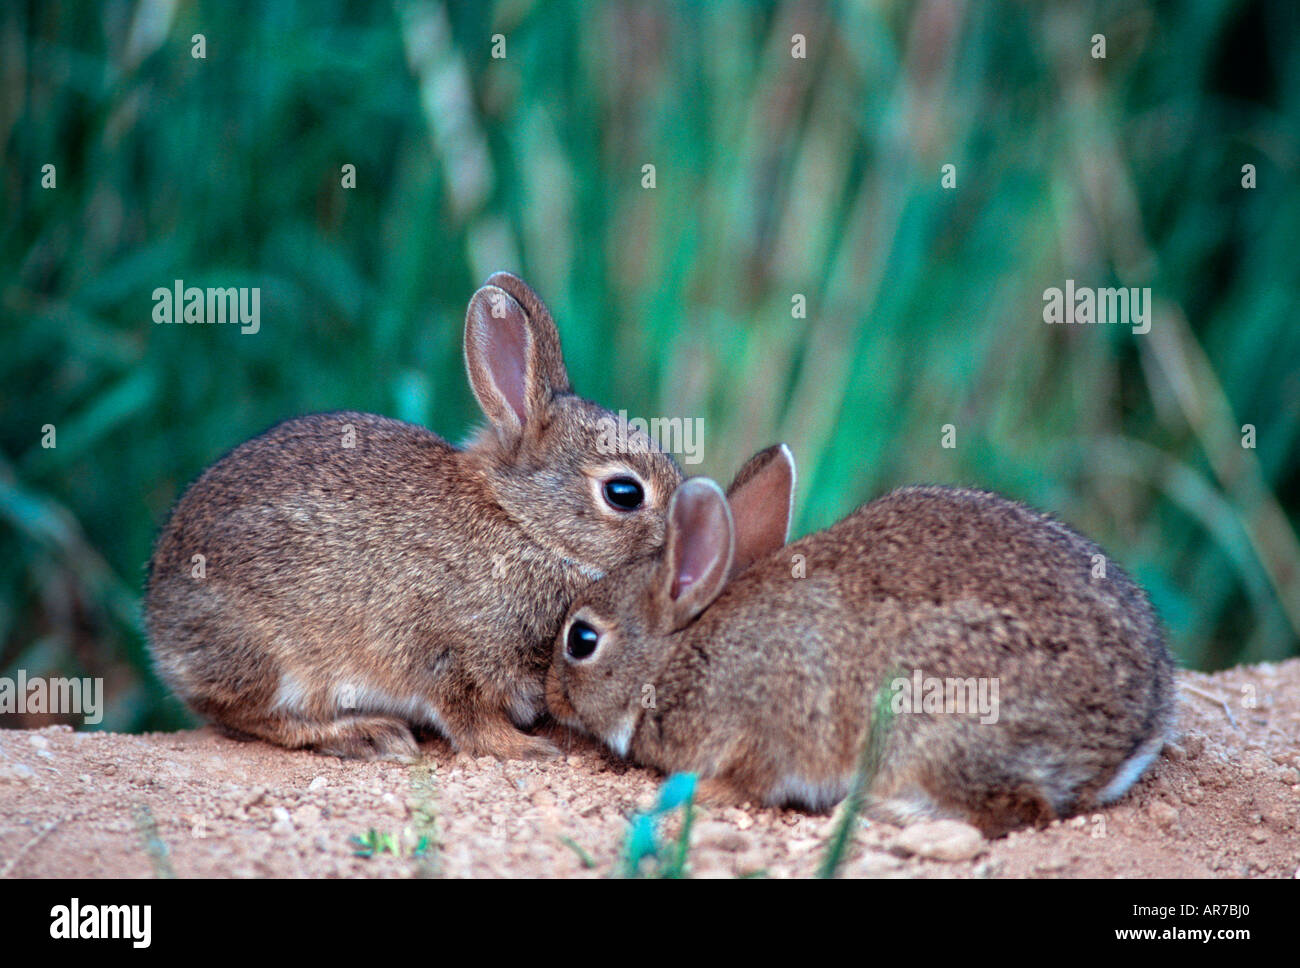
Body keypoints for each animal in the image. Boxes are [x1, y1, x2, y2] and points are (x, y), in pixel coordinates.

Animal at [145, 272, 684, 762]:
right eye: (623, 493)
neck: (525, 526)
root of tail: (156, 619)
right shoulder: (451, 657)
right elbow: (468, 719)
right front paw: (527, 749)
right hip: (271, 657)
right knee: (245, 714)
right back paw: (366, 734)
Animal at [546, 450, 1176, 836]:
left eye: (582, 639)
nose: (551, 696)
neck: (677, 657)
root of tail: (1131, 734)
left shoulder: (763, 735)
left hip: (937, 726)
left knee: (1018, 809)